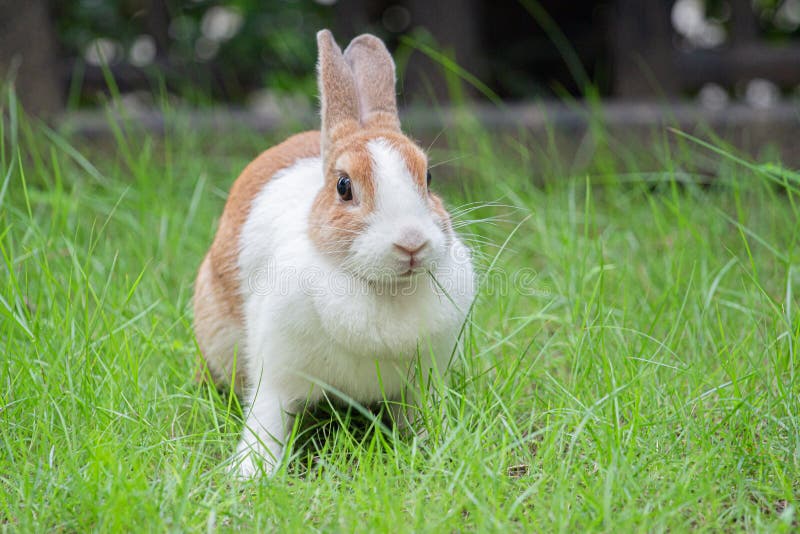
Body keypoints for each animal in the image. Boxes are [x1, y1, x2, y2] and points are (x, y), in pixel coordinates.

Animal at [192, 29, 475, 478]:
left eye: (428, 178)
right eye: (344, 187)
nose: (411, 242)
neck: (382, 288)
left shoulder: (424, 380)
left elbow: (423, 416)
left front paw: (439, 449)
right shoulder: (276, 374)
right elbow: (266, 421)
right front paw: (249, 474)